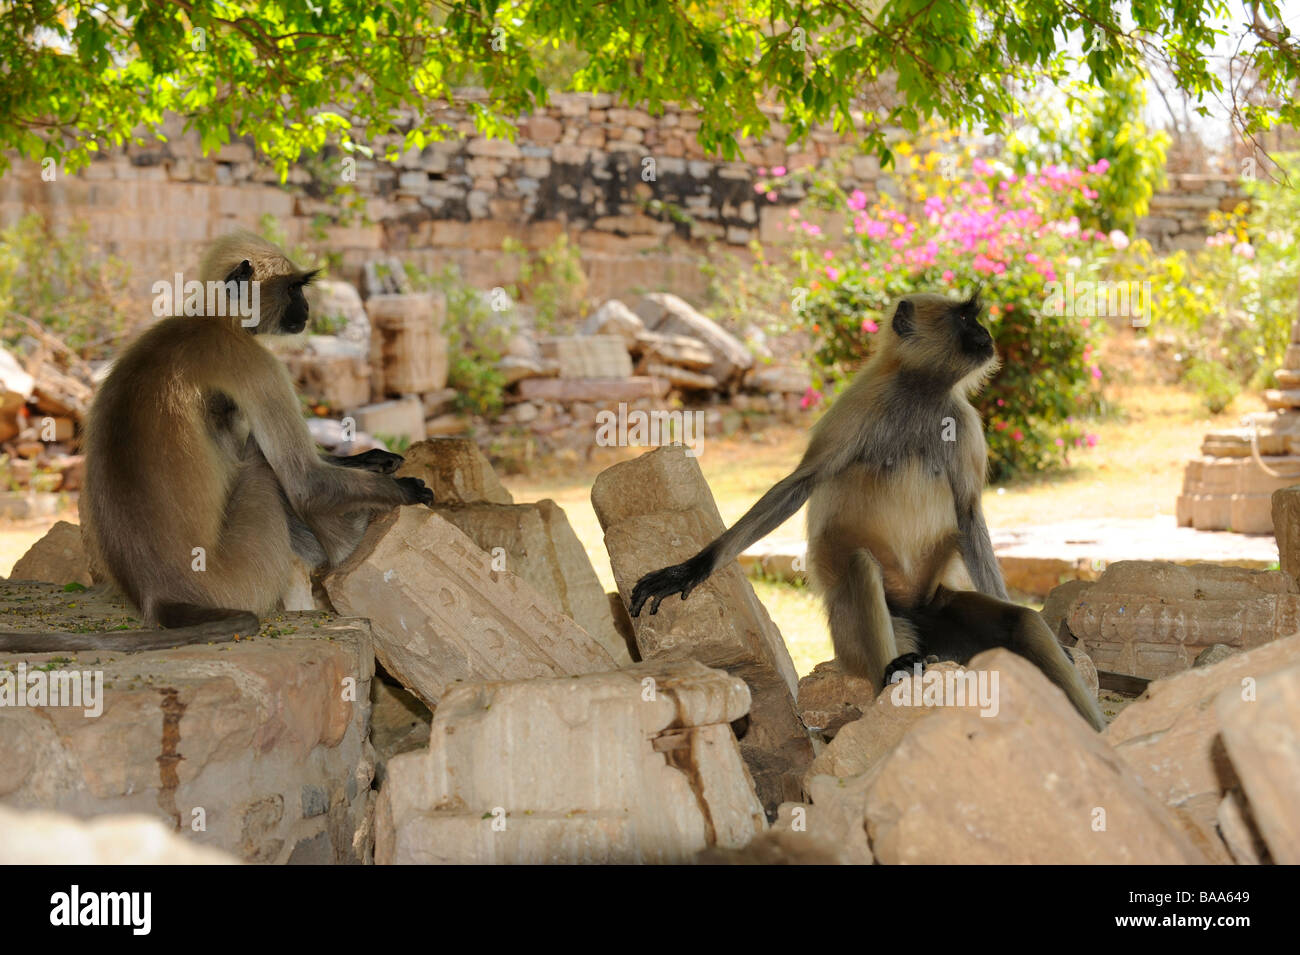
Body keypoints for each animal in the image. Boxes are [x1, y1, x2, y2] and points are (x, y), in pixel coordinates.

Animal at [1, 231, 431, 654]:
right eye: (294, 288)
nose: (306, 307)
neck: (213, 317)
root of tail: (158, 594)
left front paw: (372, 458)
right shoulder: (252, 361)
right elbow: (305, 483)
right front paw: (402, 489)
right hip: (245, 566)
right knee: (265, 468)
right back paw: (350, 542)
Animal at [630, 292, 1106, 731]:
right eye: (966, 318)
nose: (986, 333)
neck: (921, 391)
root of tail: (915, 613)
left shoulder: (965, 423)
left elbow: (968, 514)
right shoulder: (858, 404)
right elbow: (798, 485)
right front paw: (691, 569)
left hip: (938, 604)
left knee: (1022, 622)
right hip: (856, 636)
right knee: (861, 566)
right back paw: (892, 670)